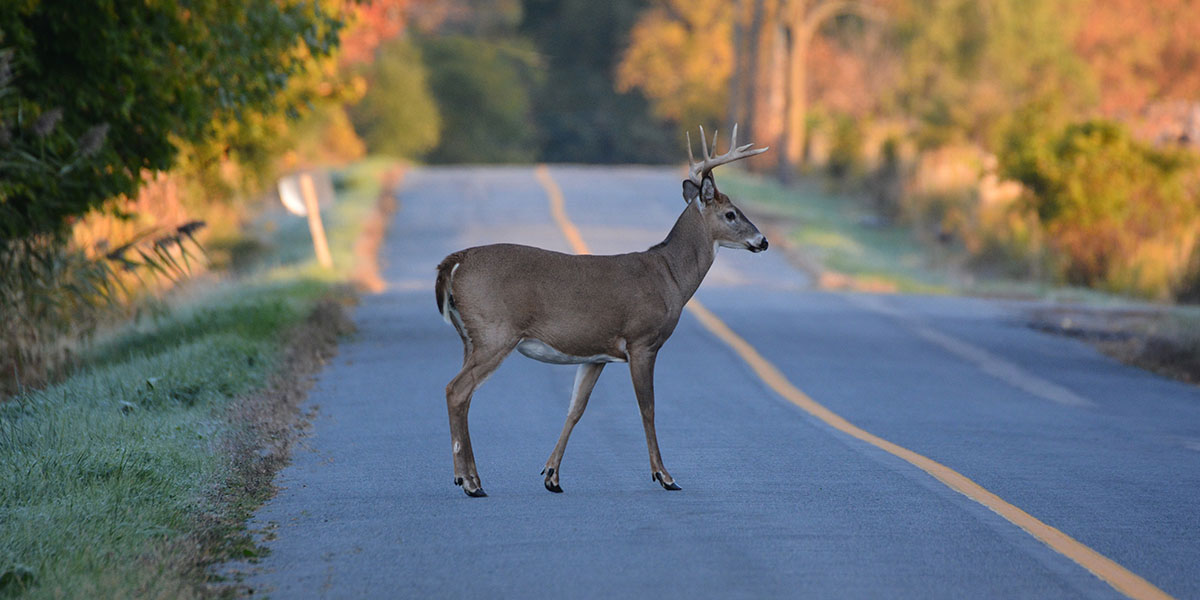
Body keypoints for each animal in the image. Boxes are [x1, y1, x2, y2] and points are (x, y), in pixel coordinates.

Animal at [435, 125, 769, 497]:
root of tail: (454, 262)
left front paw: (552, 475)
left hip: (470, 338)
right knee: (455, 390)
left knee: (463, 395)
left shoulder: (596, 354)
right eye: (731, 214)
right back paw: (468, 482)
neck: (670, 277)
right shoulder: (642, 339)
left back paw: (472, 478)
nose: (763, 241)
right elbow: (648, 409)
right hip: (495, 333)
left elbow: (576, 409)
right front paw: (664, 476)